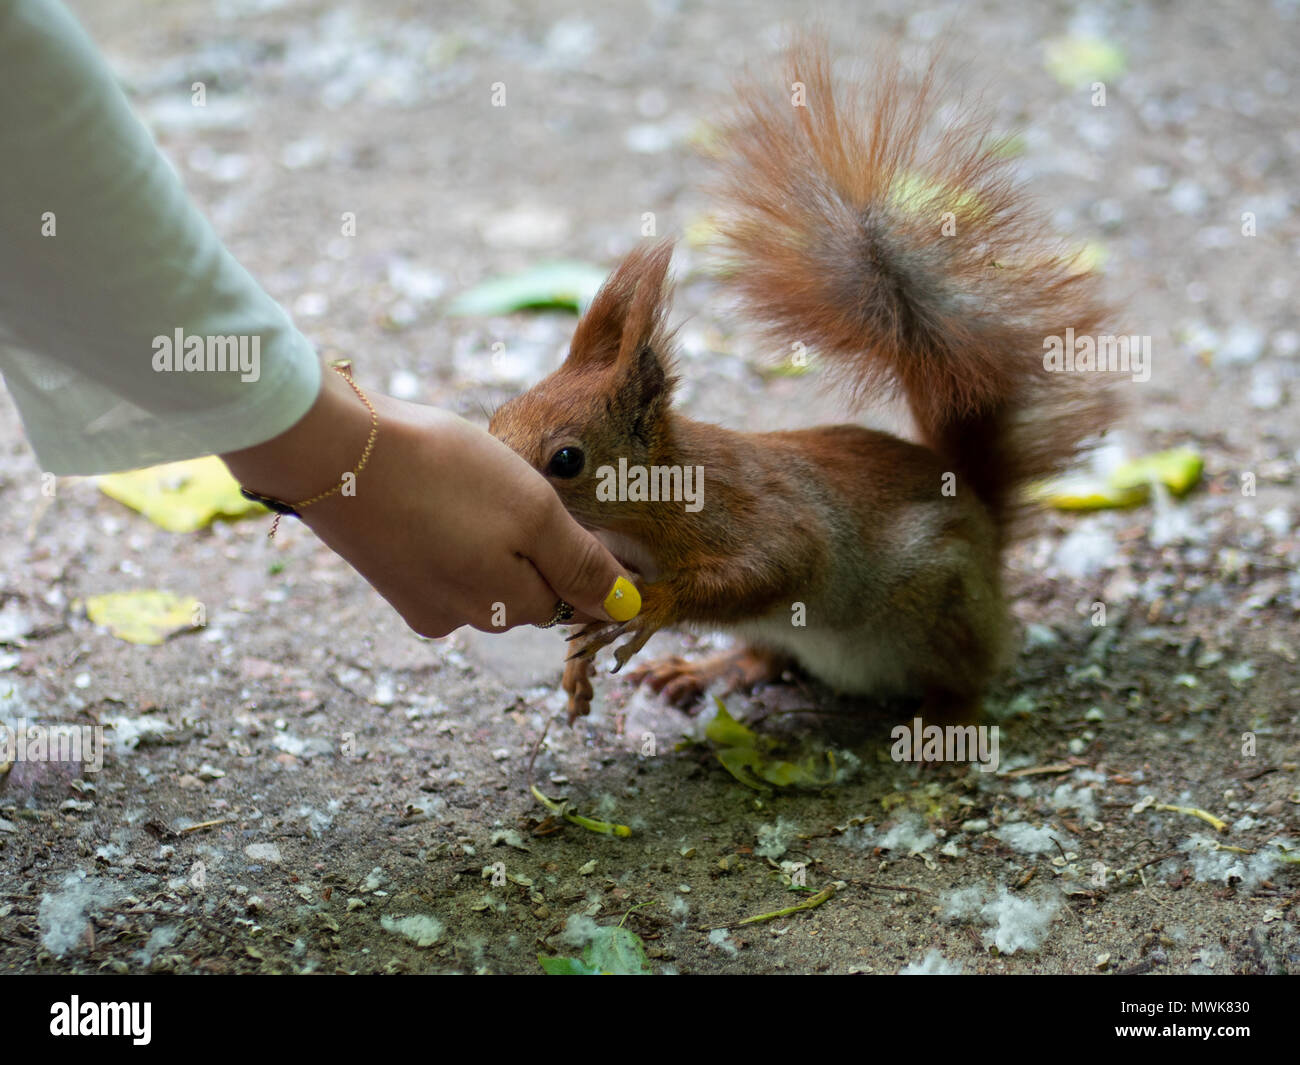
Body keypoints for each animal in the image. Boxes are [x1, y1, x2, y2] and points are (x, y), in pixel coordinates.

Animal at [488, 40, 1117, 725]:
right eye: (497, 417)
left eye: (567, 459)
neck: (646, 505)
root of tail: (986, 524)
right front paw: (575, 671)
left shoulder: (755, 515)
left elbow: (774, 565)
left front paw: (655, 604)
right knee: (768, 657)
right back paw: (711, 669)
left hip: (944, 606)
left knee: (967, 675)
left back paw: (944, 721)